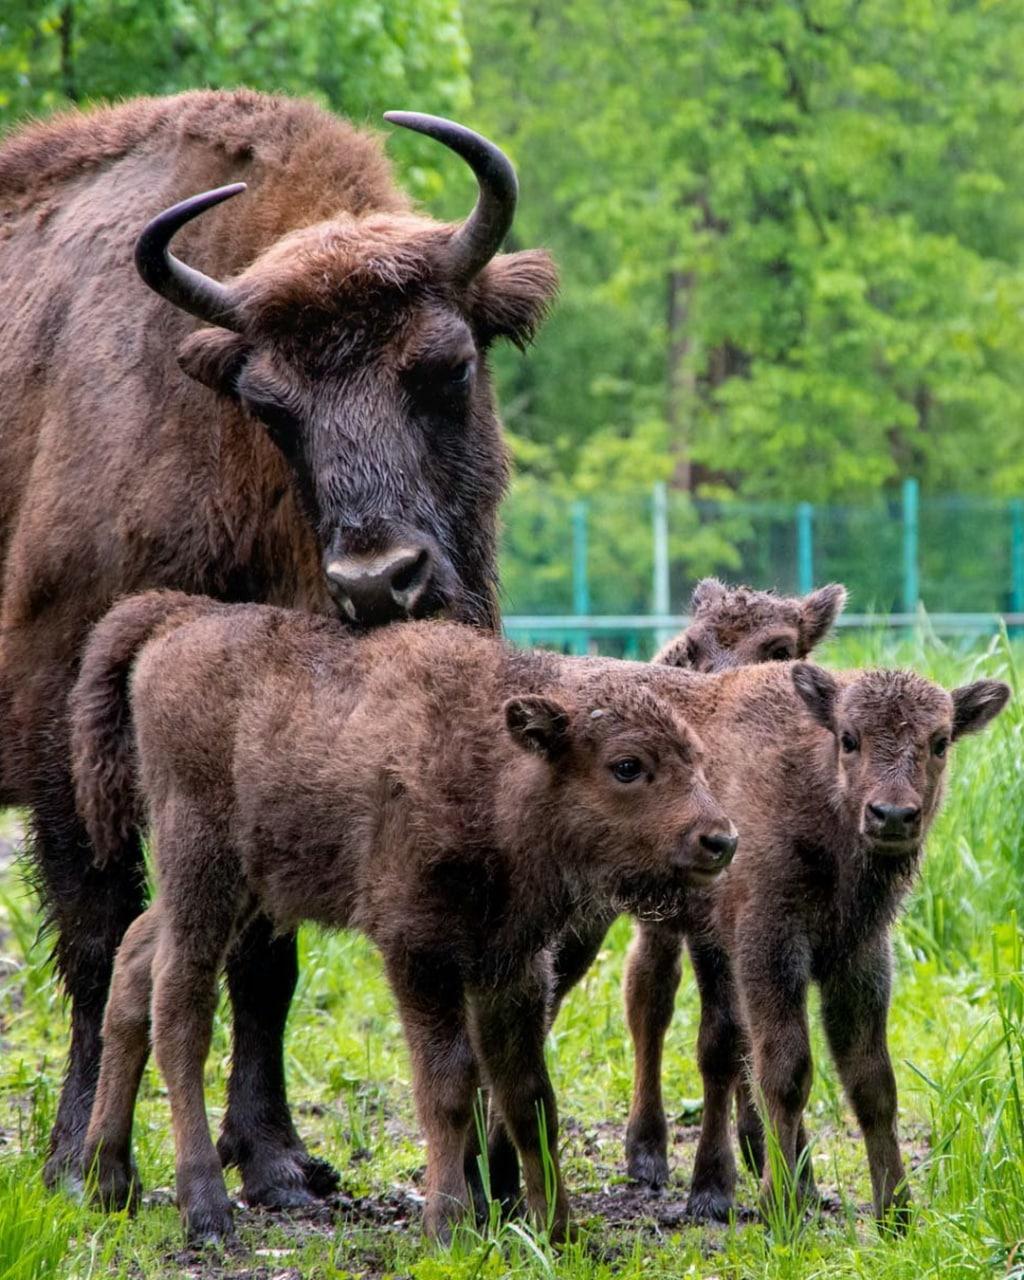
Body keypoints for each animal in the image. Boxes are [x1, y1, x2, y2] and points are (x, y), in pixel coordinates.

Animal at [0, 92, 560, 1198]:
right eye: (268, 404)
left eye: (448, 366)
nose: (378, 580)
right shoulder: (62, 740)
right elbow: (96, 936)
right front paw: (79, 1160)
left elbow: (267, 956)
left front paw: (276, 1157)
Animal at [73, 593, 737, 1244]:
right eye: (627, 765)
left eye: (698, 759)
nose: (720, 839)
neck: (493, 764)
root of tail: (181, 619)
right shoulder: (419, 950)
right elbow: (449, 1084)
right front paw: (449, 1225)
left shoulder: (511, 965)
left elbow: (529, 1094)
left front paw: (561, 1231)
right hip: (200, 869)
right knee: (180, 1007)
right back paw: (205, 1211)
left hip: (242, 888)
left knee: (134, 963)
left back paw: (108, 1180)